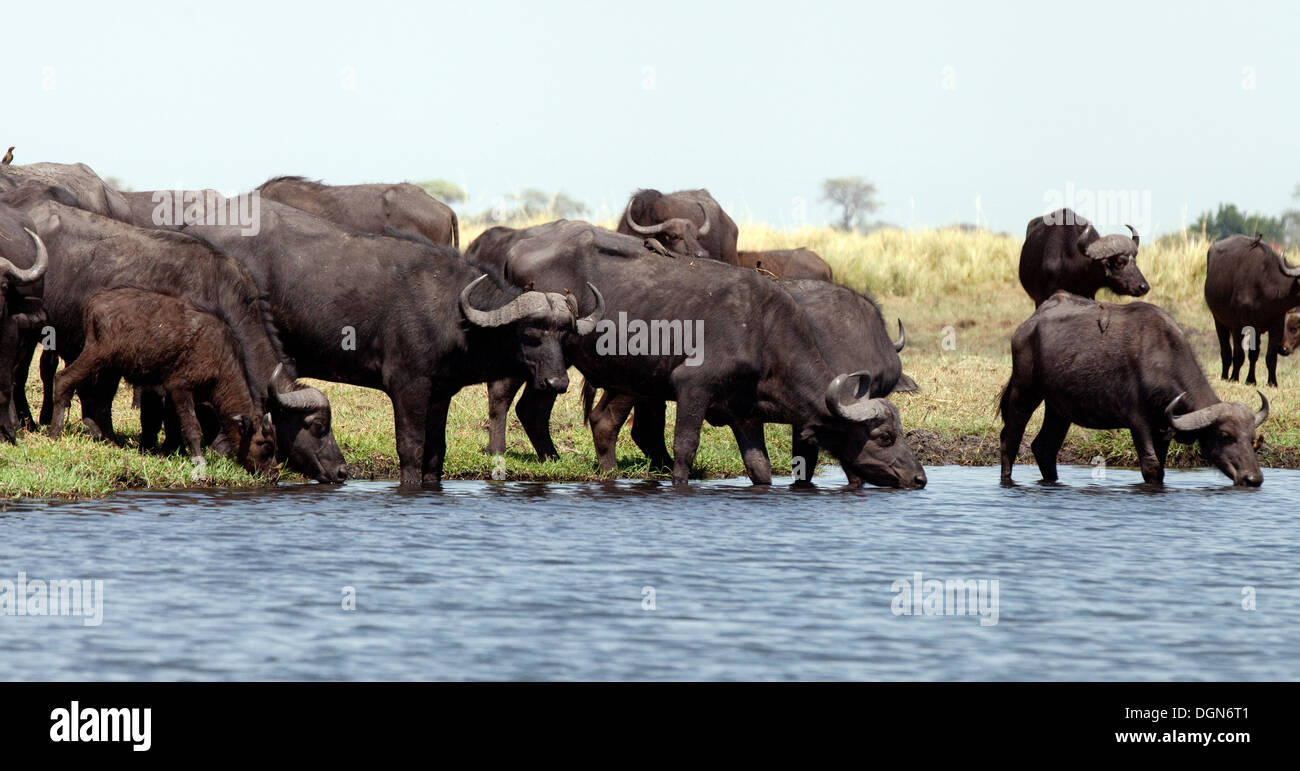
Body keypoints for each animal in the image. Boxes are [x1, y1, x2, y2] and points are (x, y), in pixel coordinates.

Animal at [1000, 291, 1266, 487]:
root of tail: (1027, 325)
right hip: (1025, 391)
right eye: (1225, 435)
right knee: (1010, 437)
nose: (1253, 479)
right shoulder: (1138, 422)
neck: (1161, 359)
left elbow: (1161, 468)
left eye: (1252, 439)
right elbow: (1151, 466)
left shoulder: (1163, 429)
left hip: (1059, 408)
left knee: (1044, 447)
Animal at [1204, 234, 1300, 387]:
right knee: (1226, 350)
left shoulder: (1276, 326)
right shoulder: (1238, 326)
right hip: (1218, 320)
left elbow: (1269, 356)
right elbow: (1239, 354)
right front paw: (1234, 378)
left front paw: (1267, 382)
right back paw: (1225, 376)